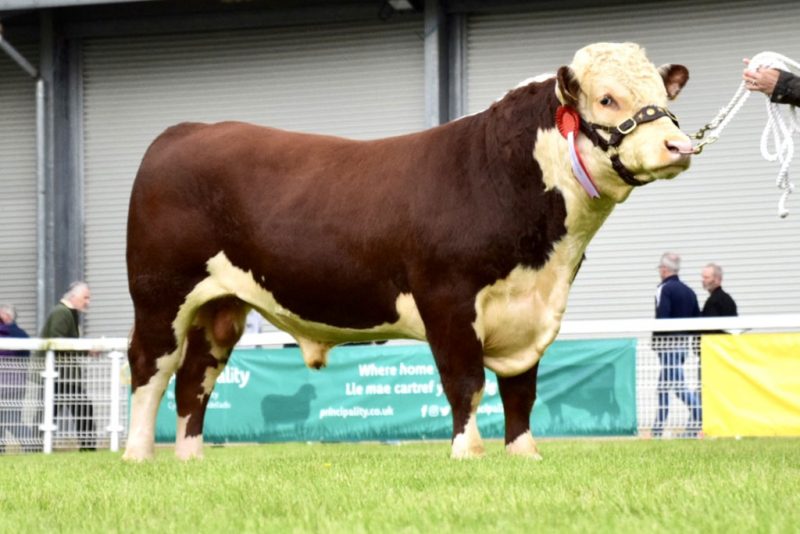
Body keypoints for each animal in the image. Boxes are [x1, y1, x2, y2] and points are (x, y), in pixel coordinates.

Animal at [123, 42, 692, 461]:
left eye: (664, 96)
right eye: (607, 99)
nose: (678, 146)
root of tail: (186, 131)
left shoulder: (531, 309)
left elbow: (520, 389)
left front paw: (523, 454)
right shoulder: (447, 298)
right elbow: (465, 381)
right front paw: (468, 453)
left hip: (222, 305)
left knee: (197, 375)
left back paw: (190, 459)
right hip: (159, 294)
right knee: (151, 367)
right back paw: (138, 455)